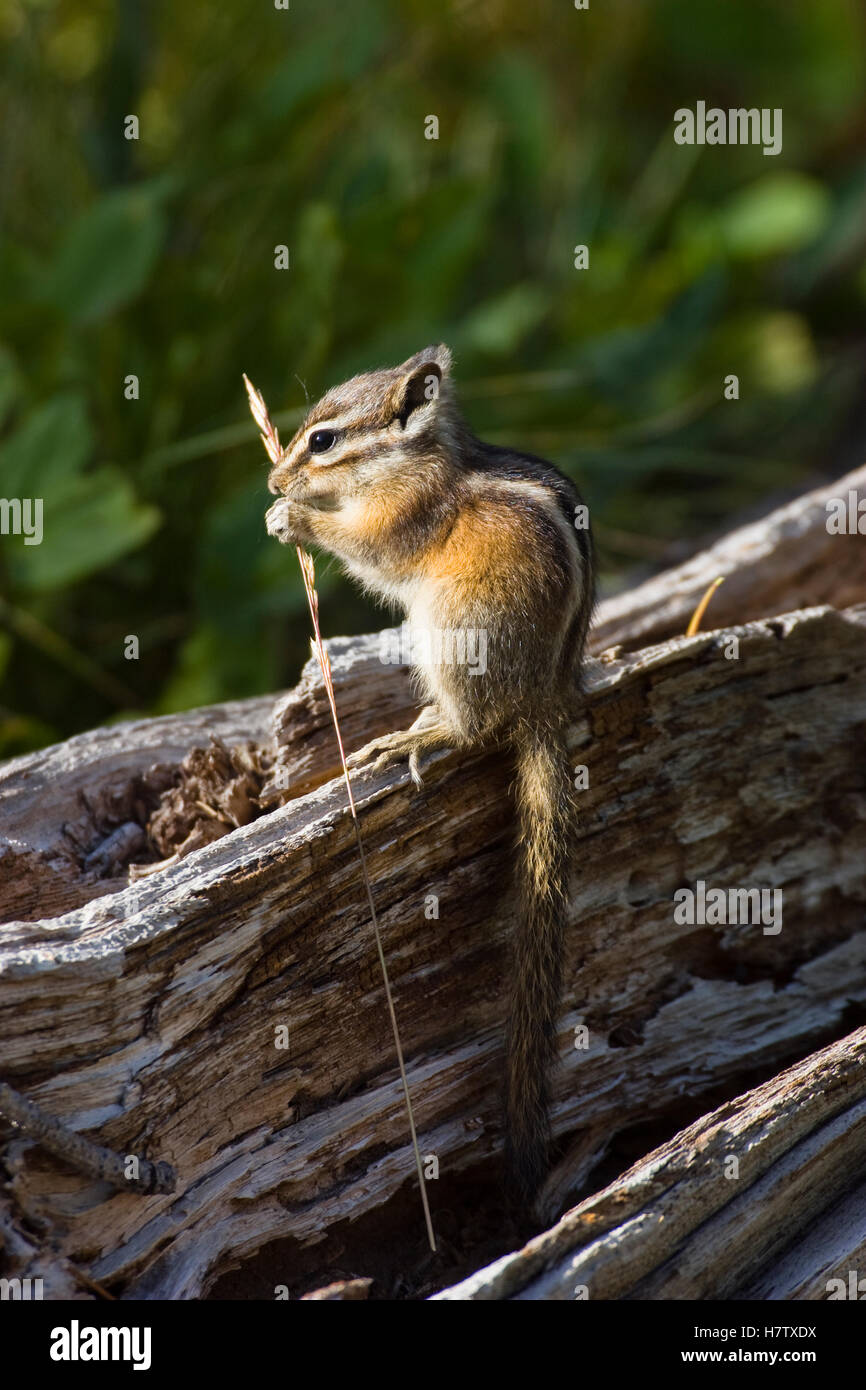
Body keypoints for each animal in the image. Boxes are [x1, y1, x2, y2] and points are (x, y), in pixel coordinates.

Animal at [265, 345, 595, 1200]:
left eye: (323, 441)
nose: (274, 481)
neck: (415, 459)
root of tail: (548, 697)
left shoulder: (402, 516)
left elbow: (373, 551)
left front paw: (296, 520)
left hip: (453, 631)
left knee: (478, 728)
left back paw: (414, 738)